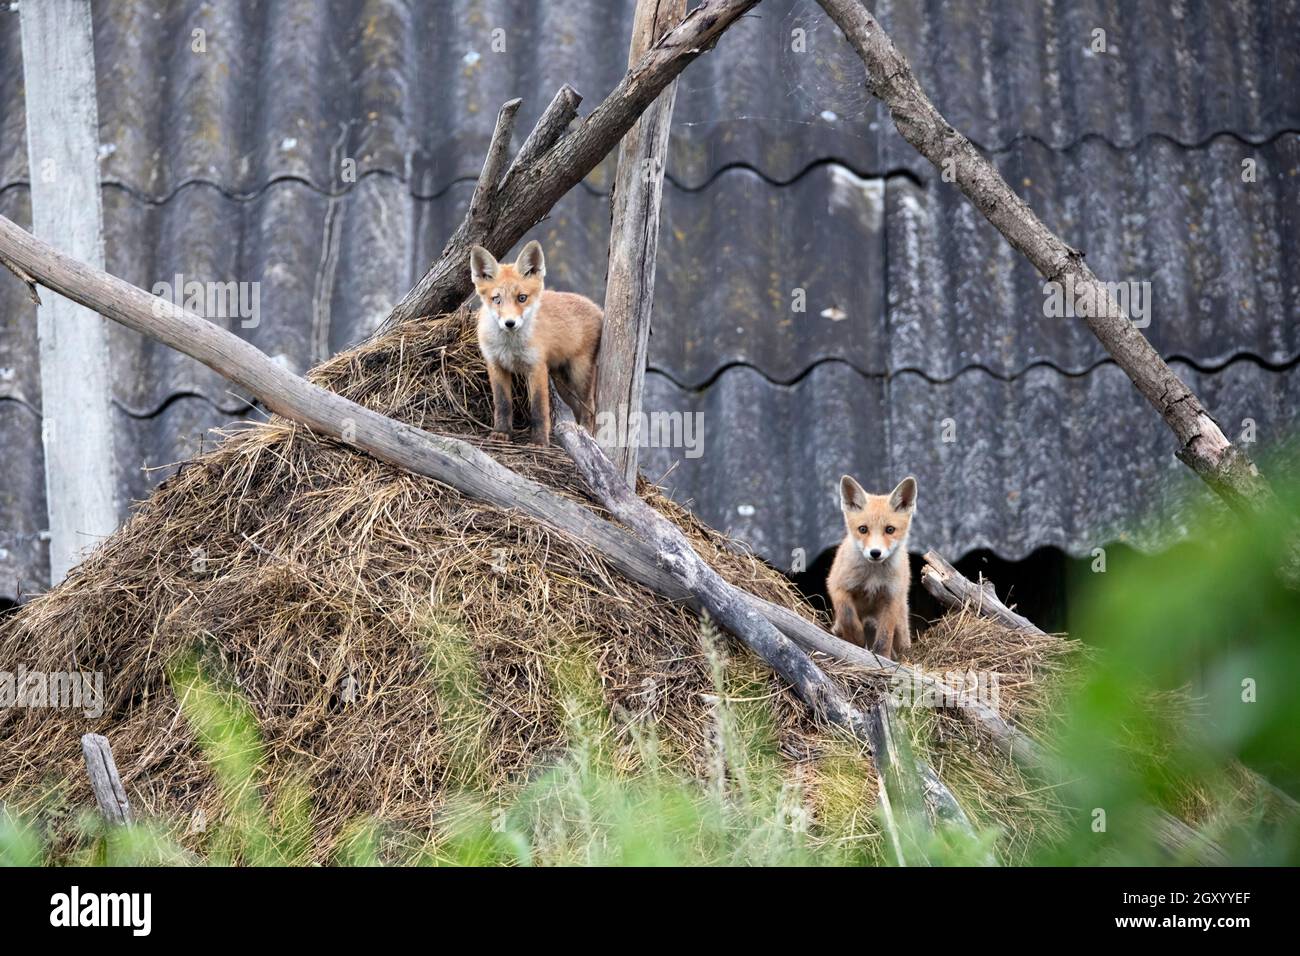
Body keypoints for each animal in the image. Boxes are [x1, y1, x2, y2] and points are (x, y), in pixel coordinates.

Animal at [470, 240, 603, 446]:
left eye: (522, 298)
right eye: (496, 299)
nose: (509, 323)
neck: (510, 346)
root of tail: (597, 308)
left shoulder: (537, 367)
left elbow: (539, 409)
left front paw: (539, 442)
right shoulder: (496, 365)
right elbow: (503, 404)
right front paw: (501, 433)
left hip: (580, 375)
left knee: (590, 407)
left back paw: (587, 434)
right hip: (563, 385)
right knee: (578, 408)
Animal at [826, 474, 918, 658]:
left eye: (890, 530)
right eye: (863, 529)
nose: (875, 553)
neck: (872, 576)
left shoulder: (891, 598)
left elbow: (884, 636)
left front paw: (882, 657)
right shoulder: (836, 585)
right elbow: (847, 616)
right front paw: (857, 638)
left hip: (901, 624)